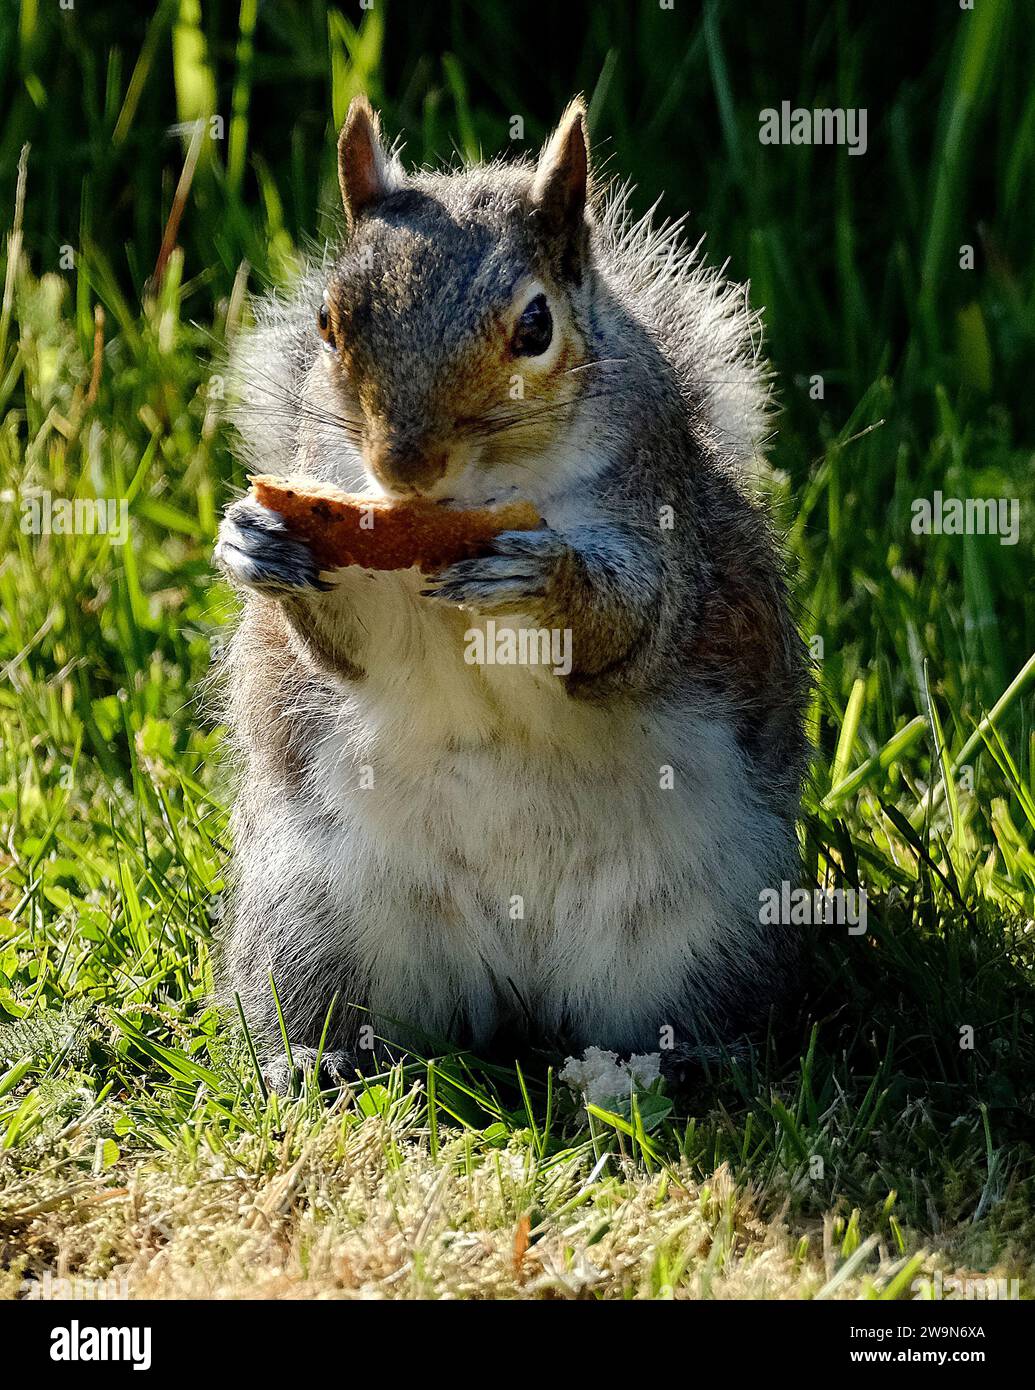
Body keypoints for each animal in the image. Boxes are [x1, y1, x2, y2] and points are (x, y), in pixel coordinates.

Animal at [214, 96, 810, 1090]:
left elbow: (631, 629)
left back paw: (675, 1064)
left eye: (536, 328)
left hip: (712, 928)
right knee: (331, 1004)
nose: (404, 465)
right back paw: (313, 1061)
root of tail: (519, 992)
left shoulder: (657, 527)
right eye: (329, 323)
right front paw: (258, 541)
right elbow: (345, 650)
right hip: (310, 916)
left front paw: (541, 578)